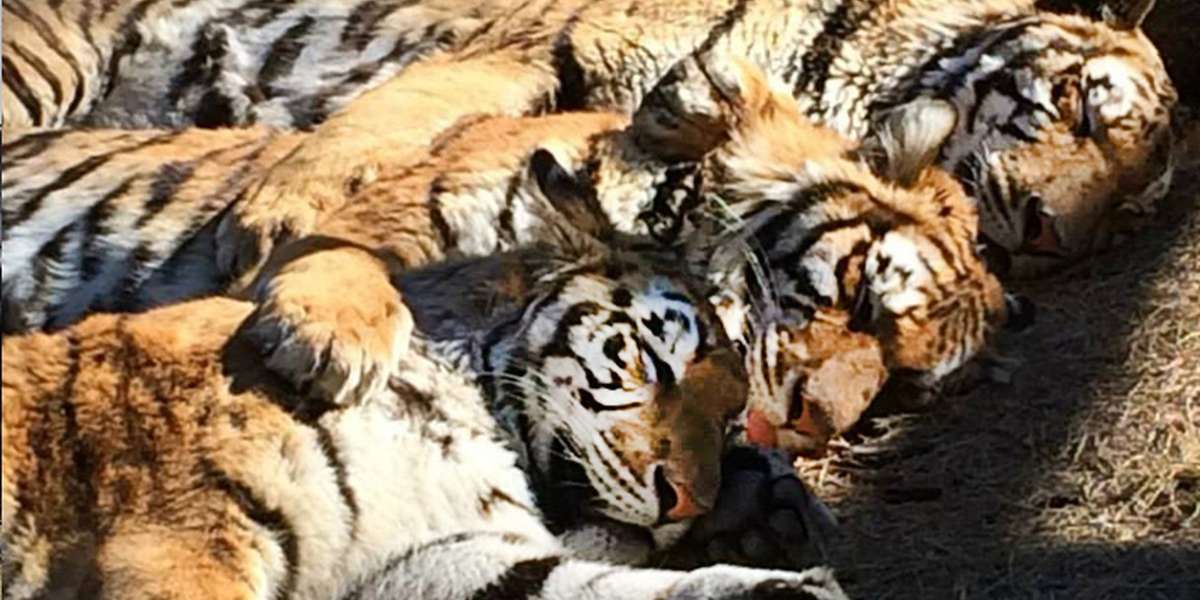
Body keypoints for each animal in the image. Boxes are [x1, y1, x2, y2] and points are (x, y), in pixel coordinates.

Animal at [1, 56, 1028, 458]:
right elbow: (342, 251)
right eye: (860, 297)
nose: (815, 425)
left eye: (900, 388)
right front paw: (329, 335)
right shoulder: (412, 203)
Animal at [1, 229, 851, 599]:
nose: (686, 503)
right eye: (655, 365)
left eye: (733, 415)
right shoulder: (184, 536)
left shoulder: (430, 555)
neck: (474, 423)